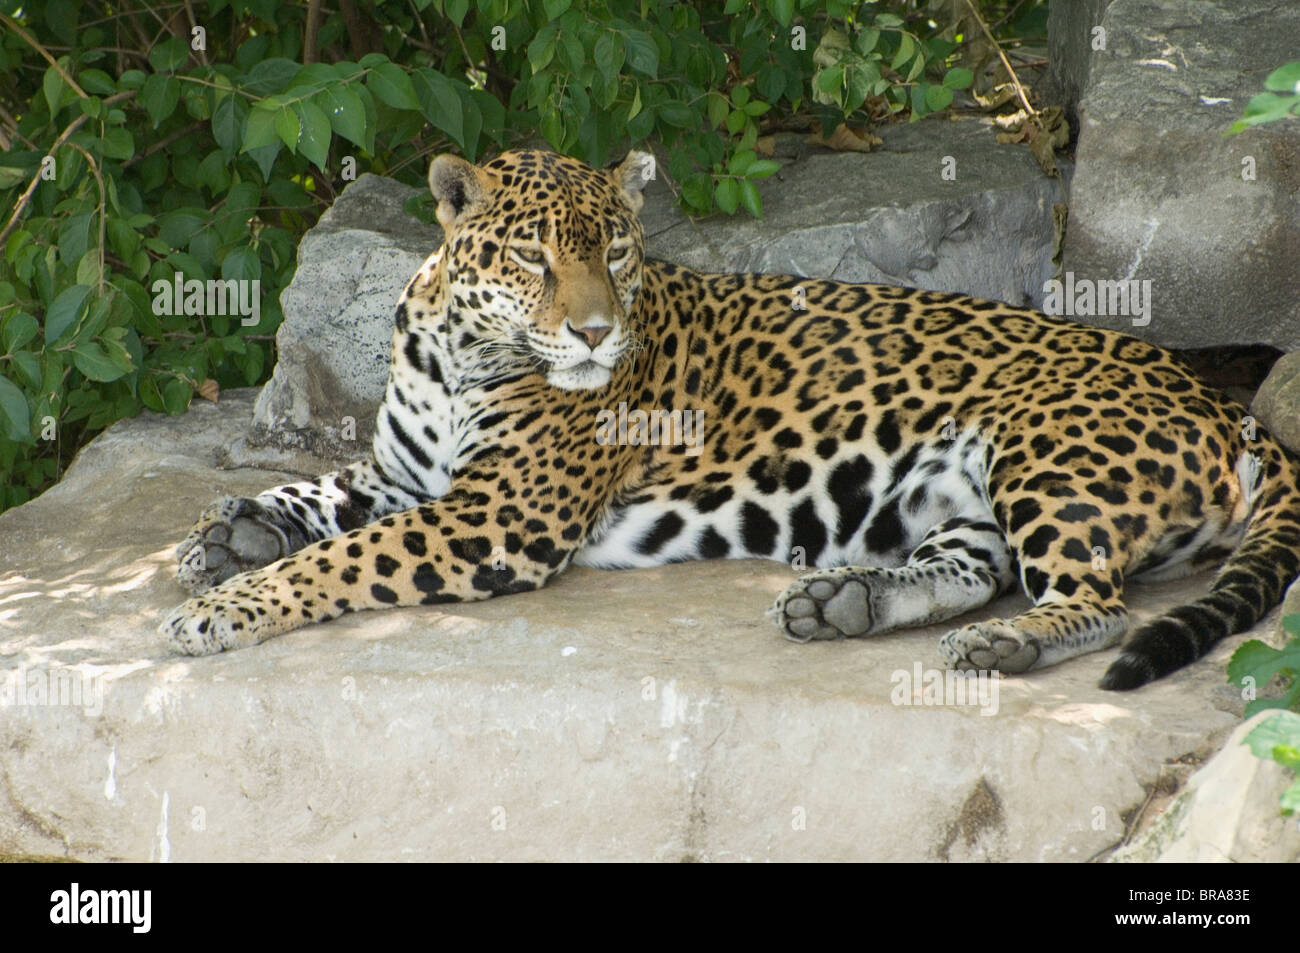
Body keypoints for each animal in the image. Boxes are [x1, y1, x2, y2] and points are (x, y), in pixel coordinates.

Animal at [160, 148, 1300, 691]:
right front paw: (229, 533)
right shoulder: (413, 479)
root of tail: (1219, 402)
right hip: (958, 488)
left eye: (616, 250)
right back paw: (847, 600)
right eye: (533, 256)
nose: (593, 334)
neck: (460, 350)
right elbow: (322, 495)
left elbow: (342, 557)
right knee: (973, 567)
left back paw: (1003, 647)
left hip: (1045, 450)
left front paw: (223, 610)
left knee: (1096, 601)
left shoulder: (494, 517)